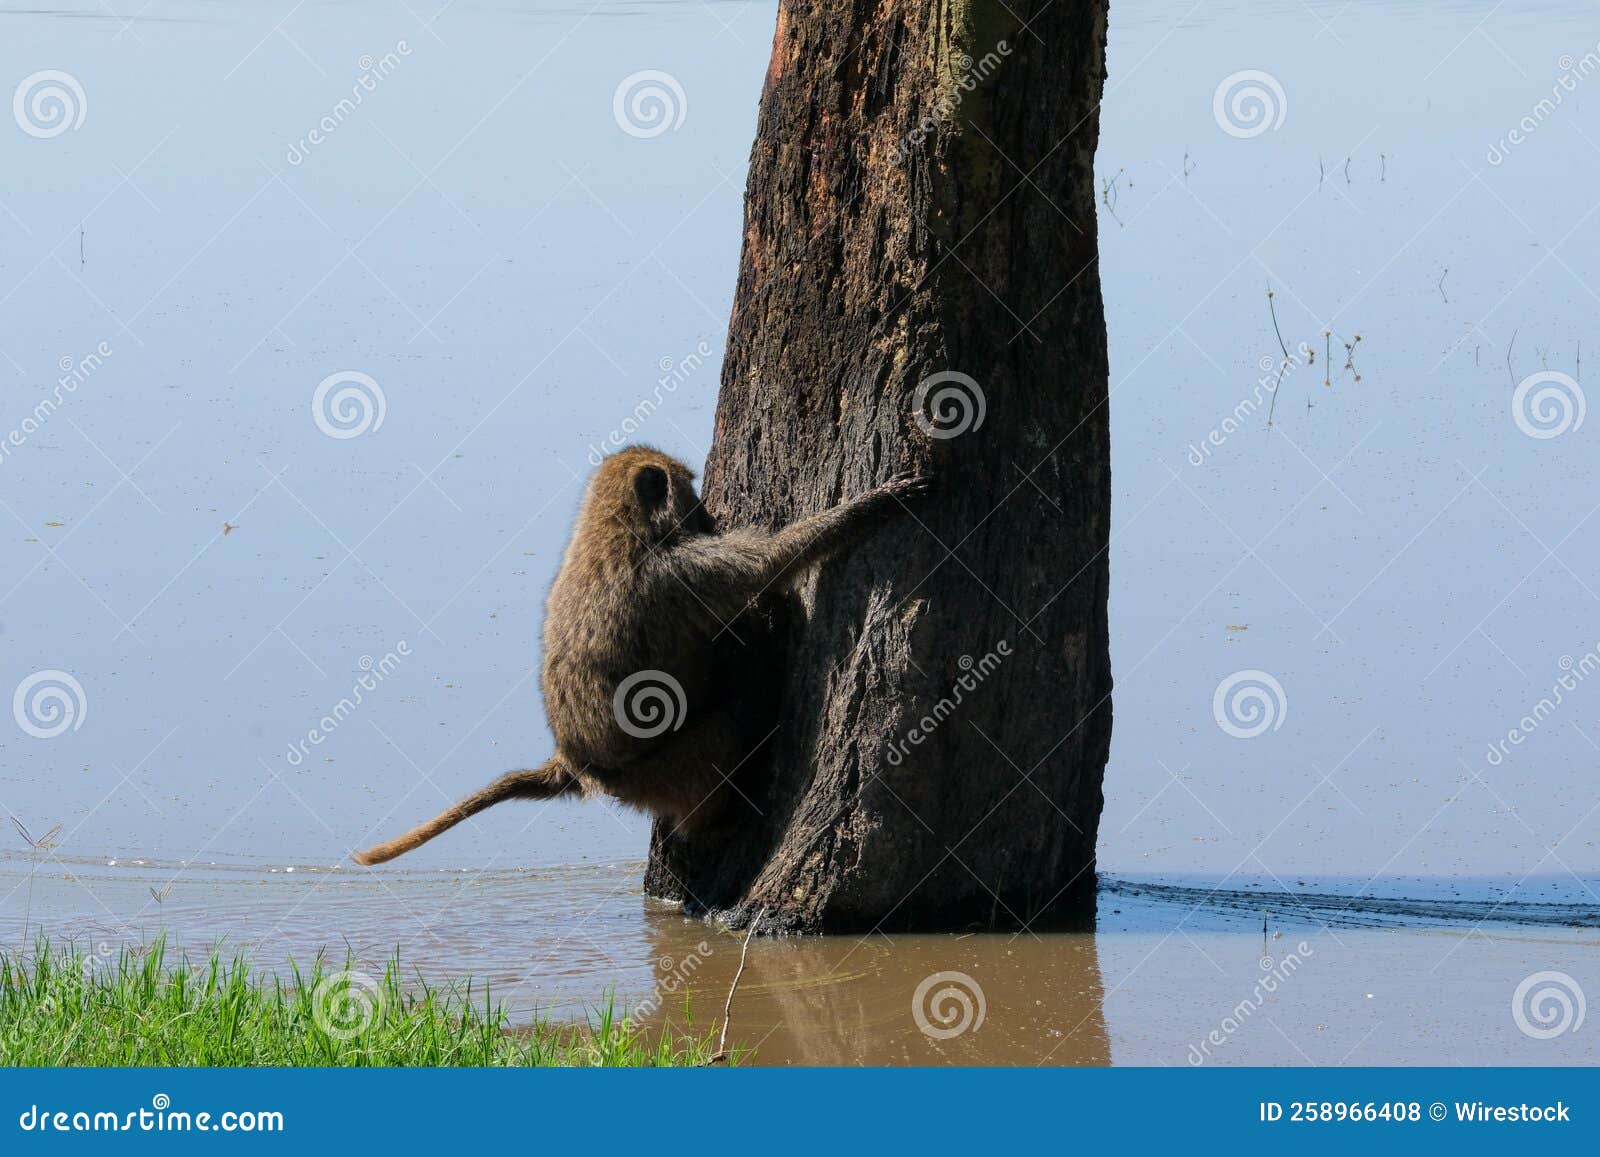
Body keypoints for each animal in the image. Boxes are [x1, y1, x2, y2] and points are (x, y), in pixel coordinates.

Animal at [352, 445, 930, 865]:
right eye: (690, 485)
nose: (710, 513)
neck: (614, 526)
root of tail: (574, 761)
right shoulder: (684, 571)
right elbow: (772, 565)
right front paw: (875, 506)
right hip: (647, 776)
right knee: (718, 735)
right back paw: (711, 827)